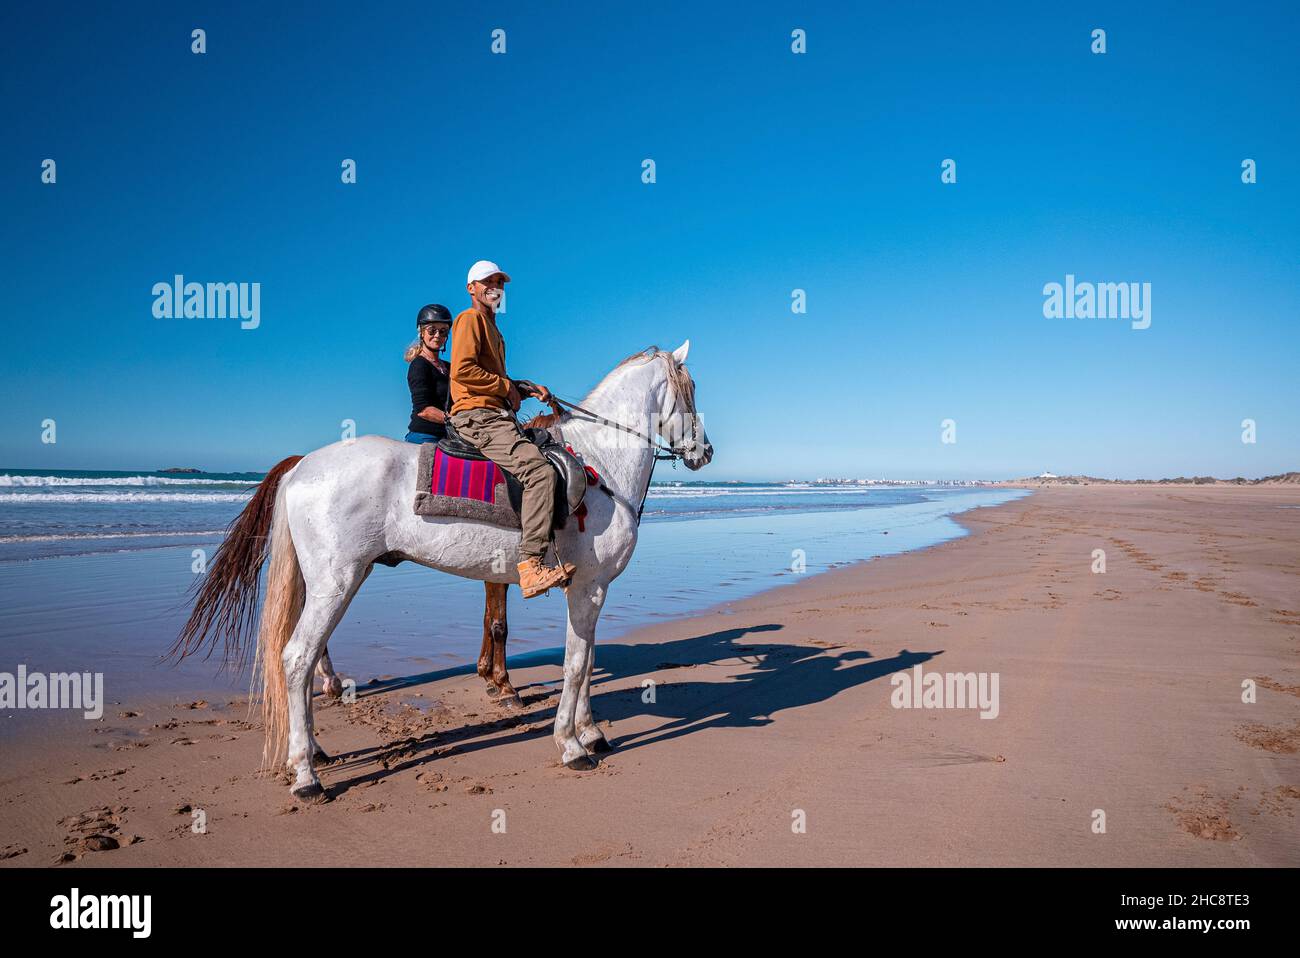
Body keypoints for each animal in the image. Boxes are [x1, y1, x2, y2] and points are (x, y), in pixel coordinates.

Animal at [170, 342, 712, 802]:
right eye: (690, 393)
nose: (704, 452)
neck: (599, 464)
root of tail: (302, 467)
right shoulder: (586, 588)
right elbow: (577, 665)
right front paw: (572, 745)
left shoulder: (590, 591)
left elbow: (585, 659)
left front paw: (592, 733)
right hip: (335, 584)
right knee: (297, 658)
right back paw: (306, 775)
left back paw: (315, 753)